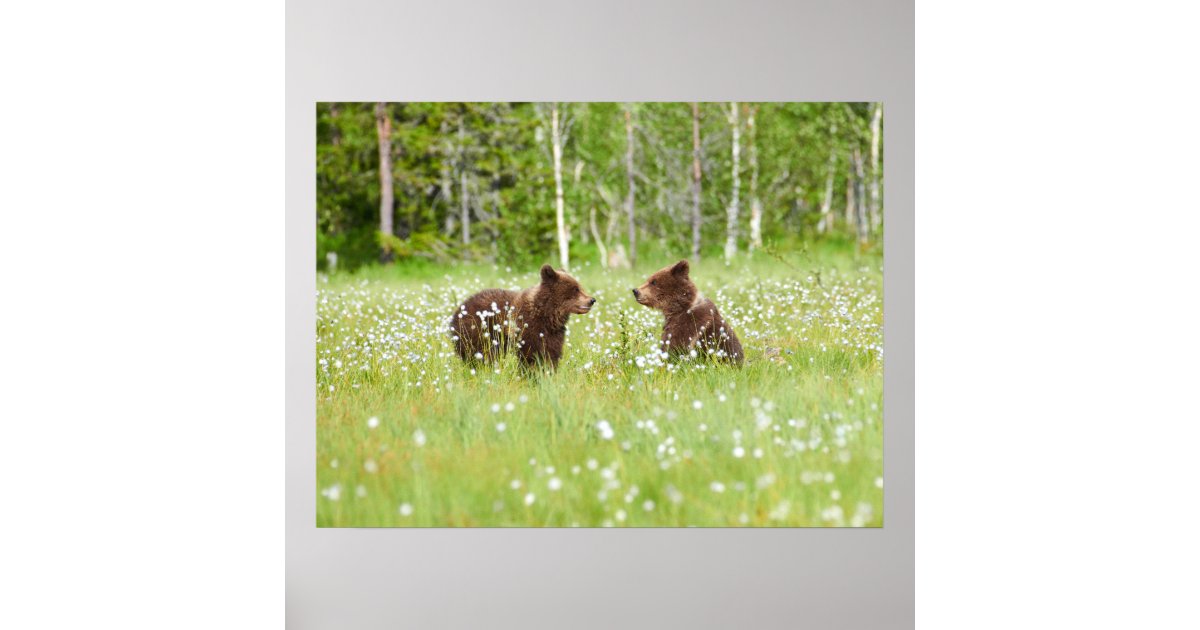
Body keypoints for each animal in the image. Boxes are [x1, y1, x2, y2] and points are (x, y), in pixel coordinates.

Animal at [450, 264, 595, 370]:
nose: (592, 300)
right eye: (575, 289)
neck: (547, 315)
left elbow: (551, 353)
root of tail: (459, 307)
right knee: (481, 353)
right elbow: (530, 354)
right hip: (478, 332)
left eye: (579, 287)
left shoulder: (552, 333)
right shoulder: (527, 329)